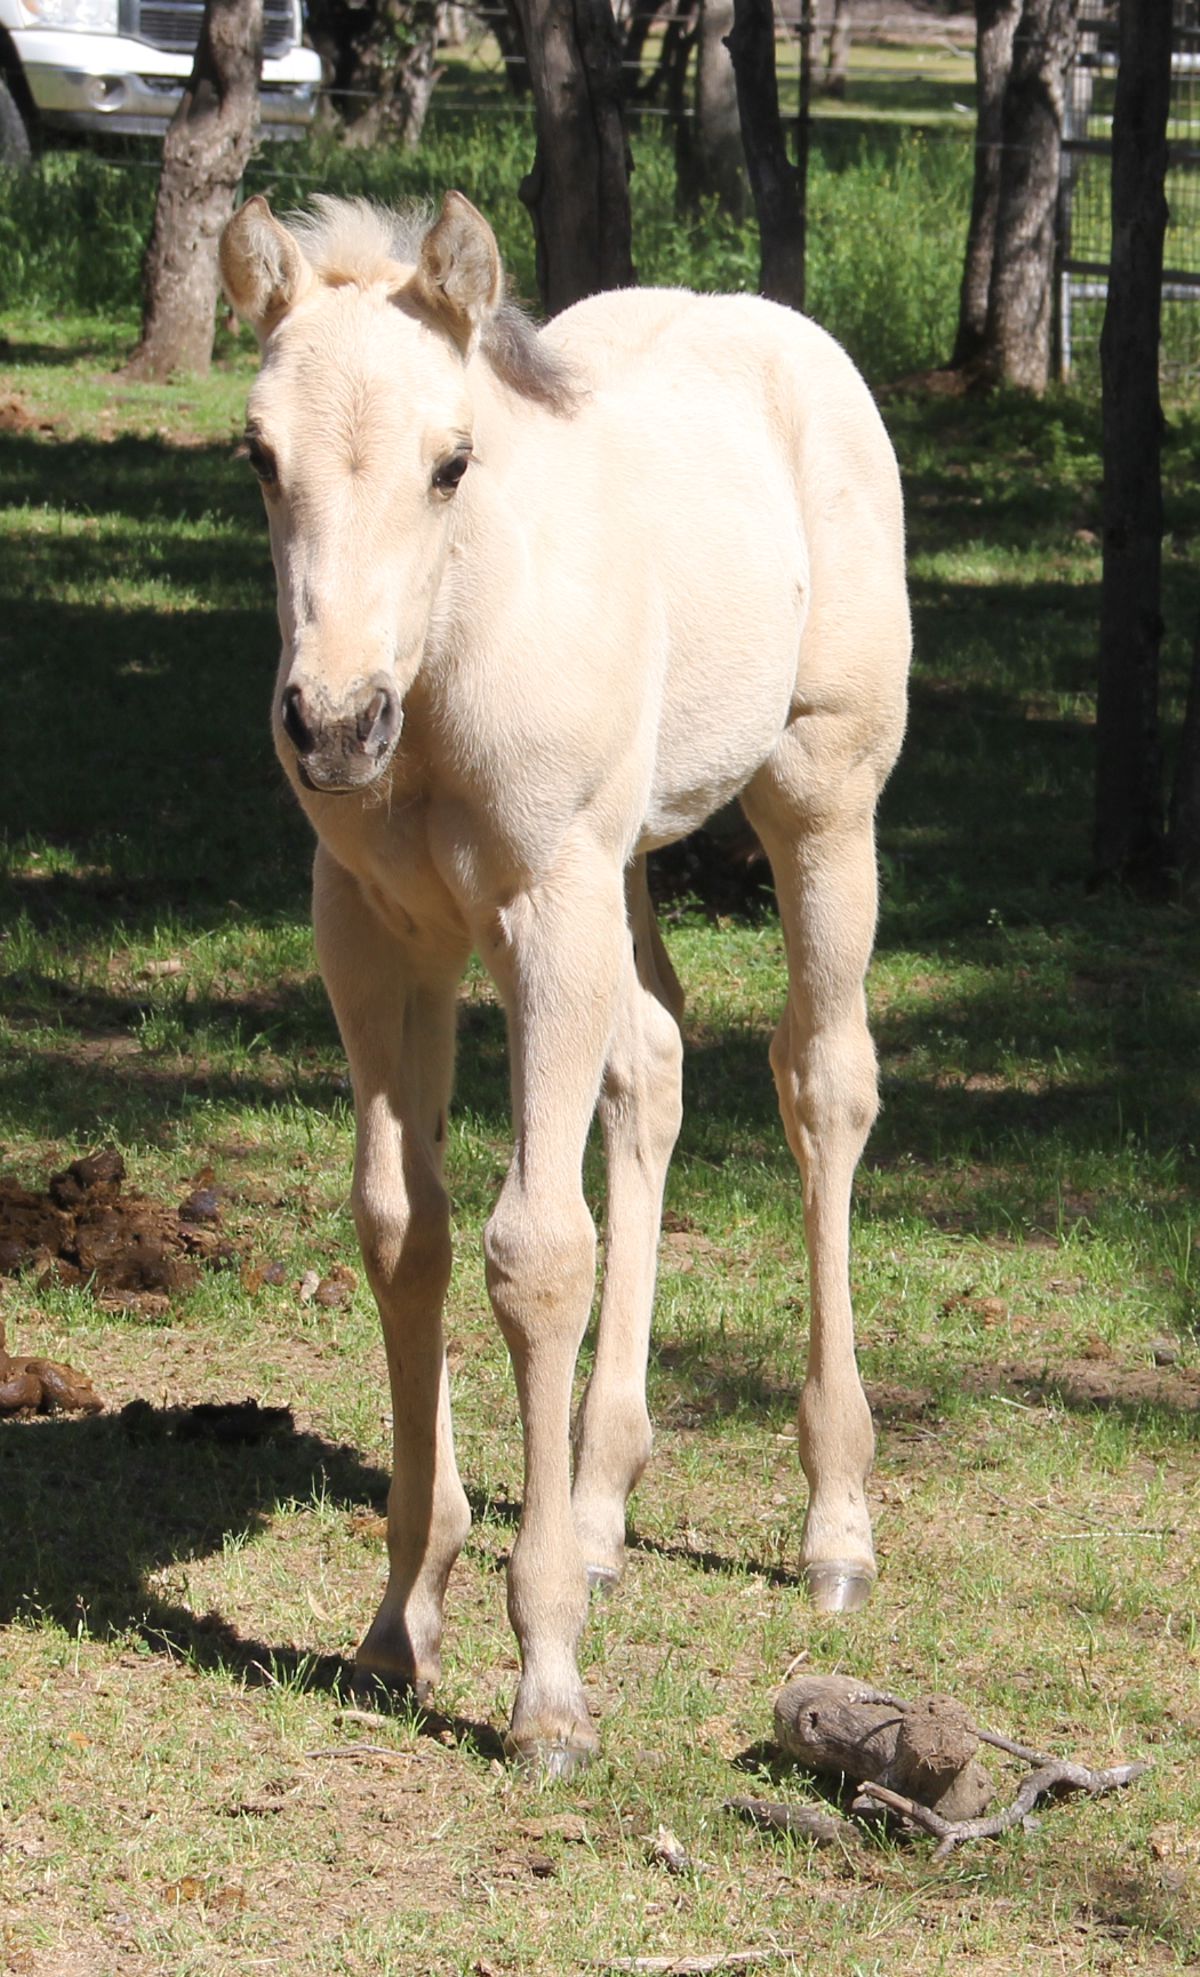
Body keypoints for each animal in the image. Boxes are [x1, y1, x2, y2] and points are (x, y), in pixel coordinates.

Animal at [219, 189, 911, 1775]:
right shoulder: (377, 932)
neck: (448, 659)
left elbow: (536, 1252)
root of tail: (767, 323)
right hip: (628, 859)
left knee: (824, 1087)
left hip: (819, 801)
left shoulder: (543, 909)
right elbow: (401, 1232)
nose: (333, 722)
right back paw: (596, 1507)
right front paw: (403, 1615)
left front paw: (544, 1683)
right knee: (650, 1072)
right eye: (258, 456)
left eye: (451, 460)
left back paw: (835, 1526)